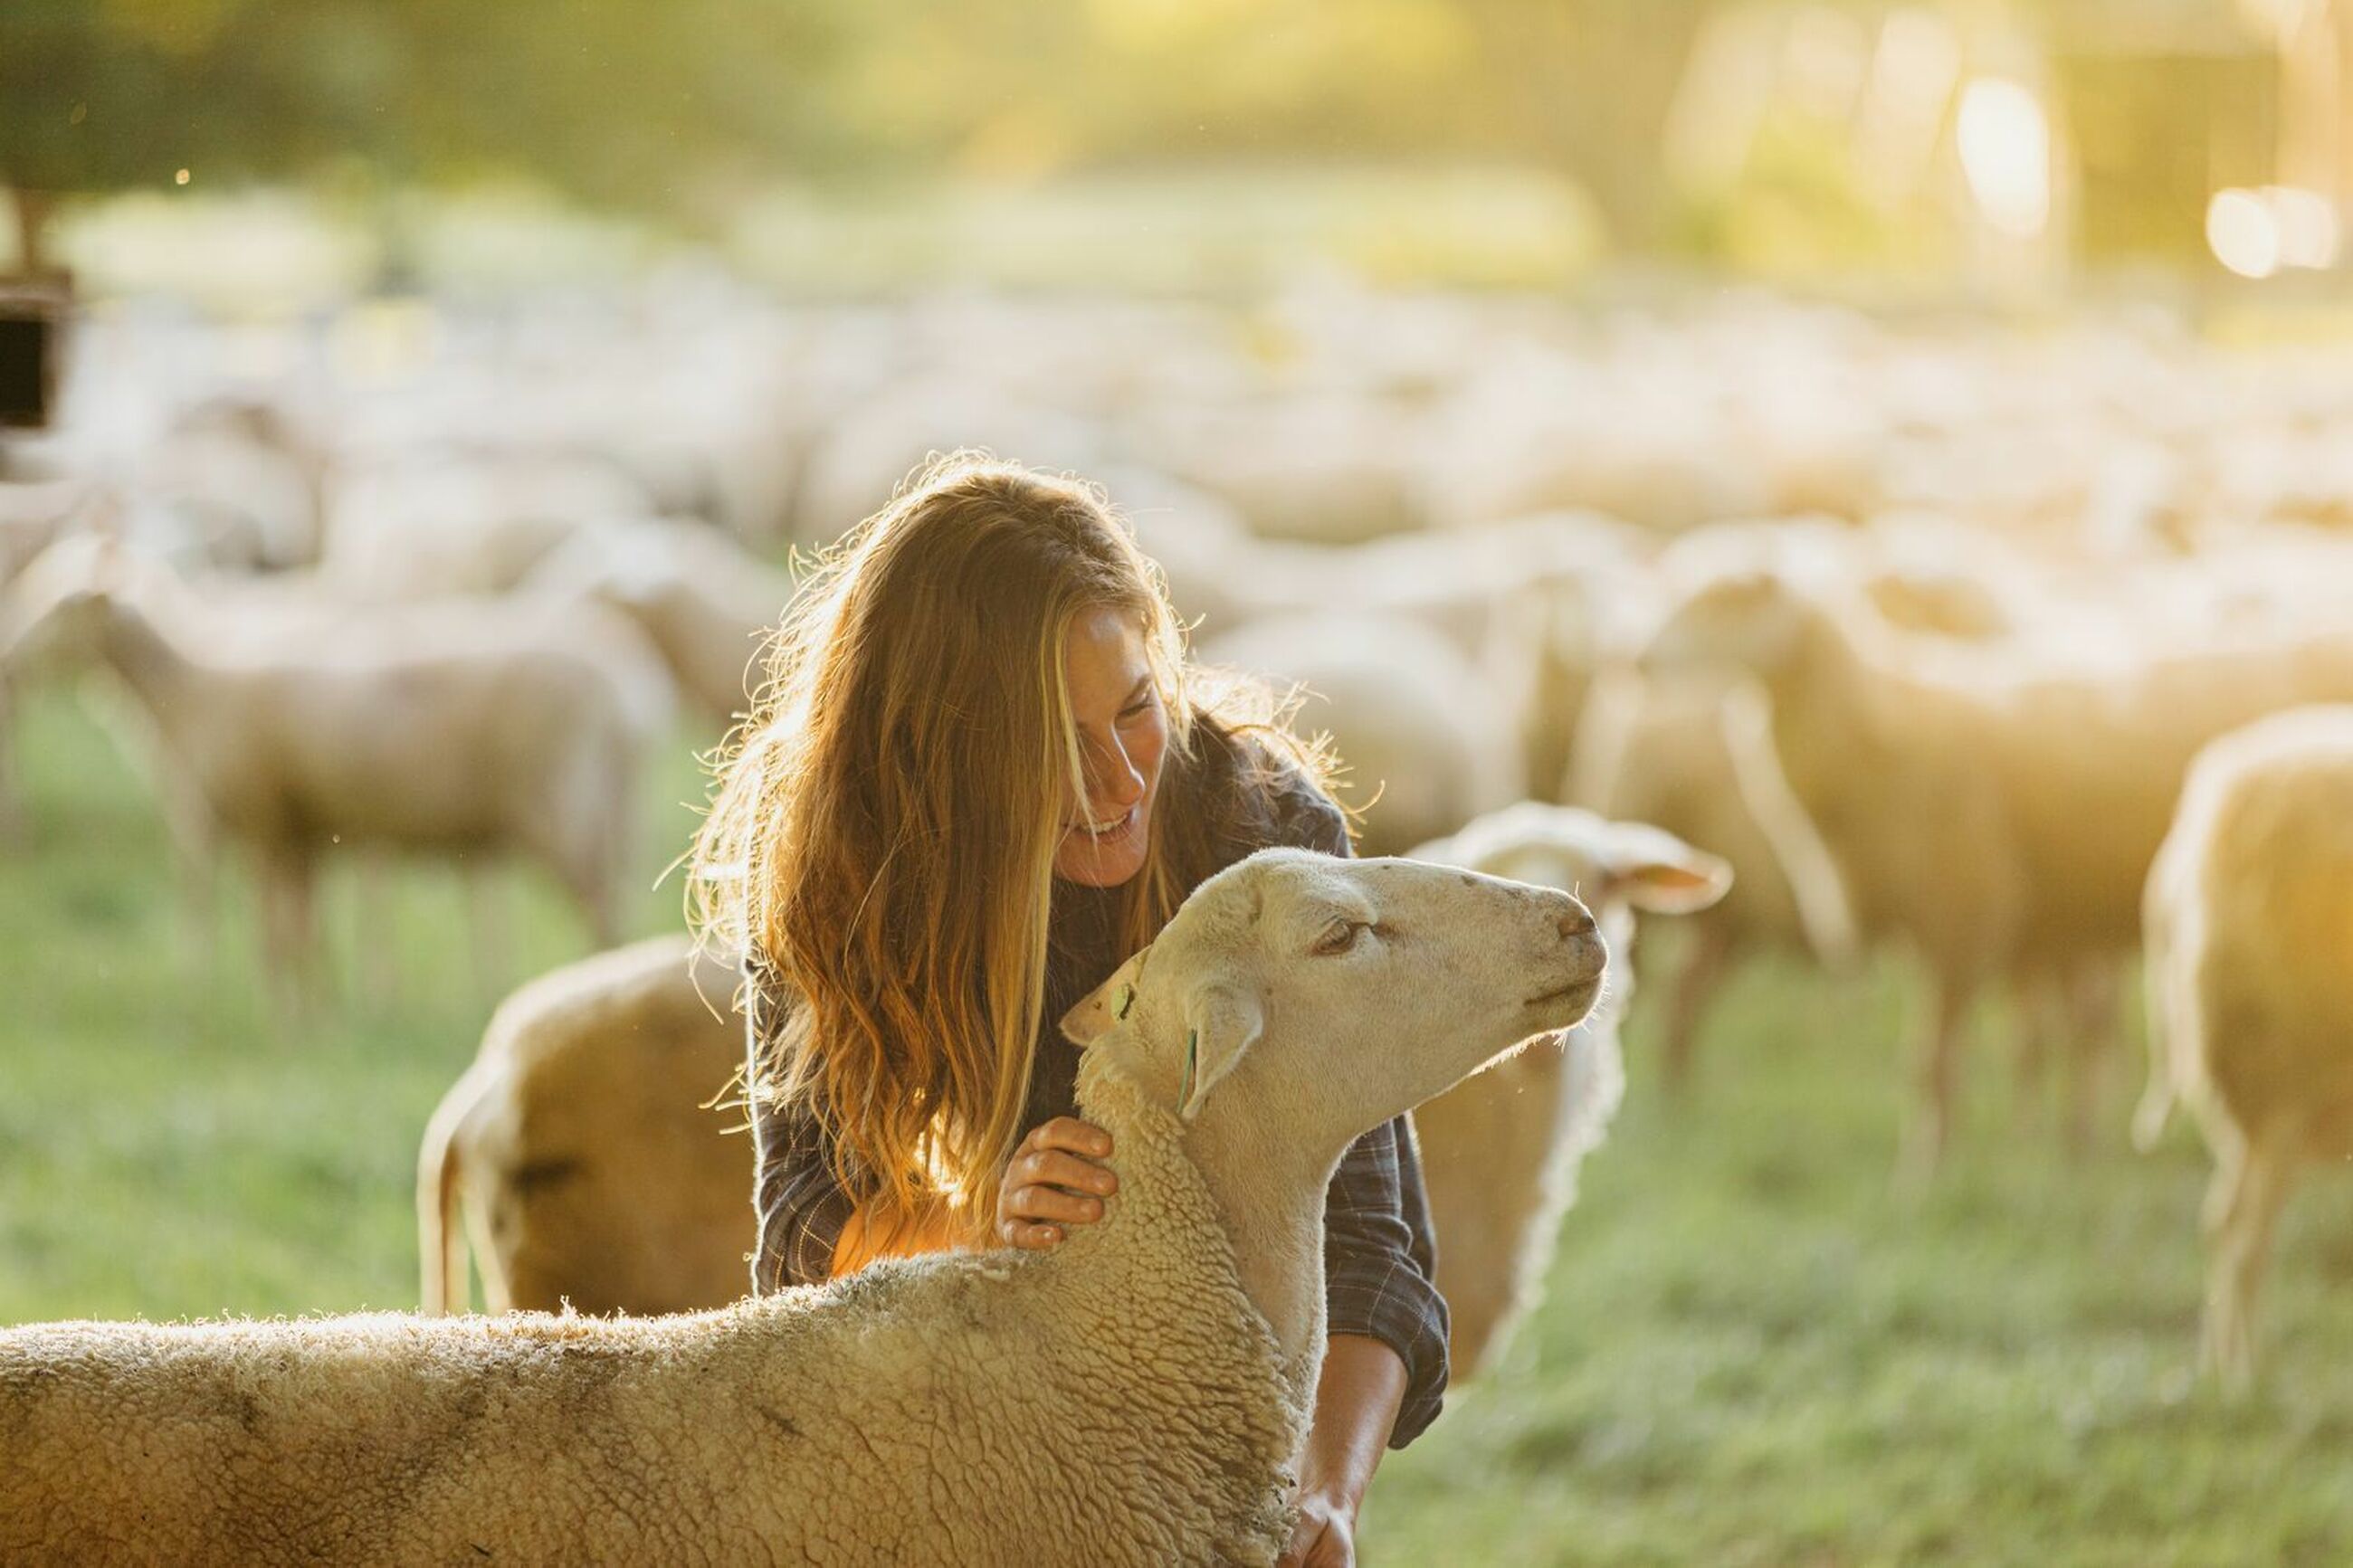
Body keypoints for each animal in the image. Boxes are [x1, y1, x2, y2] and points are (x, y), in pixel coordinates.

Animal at [0, 537, 675, 1012]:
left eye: (61, 608)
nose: (12, 653)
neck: (191, 687)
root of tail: (617, 693)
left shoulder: (266, 823)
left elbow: (276, 932)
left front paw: (289, 1019)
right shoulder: (299, 832)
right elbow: (302, 928)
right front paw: (317, 1008)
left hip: (559, 809)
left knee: (601, 904)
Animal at [2134, 706, 2353, 1391]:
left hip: (2253, 1100)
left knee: (2219, 1221)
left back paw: (2218, 1372)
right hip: (2278, 1076)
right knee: (2243, 1236)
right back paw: (2248, 1380)